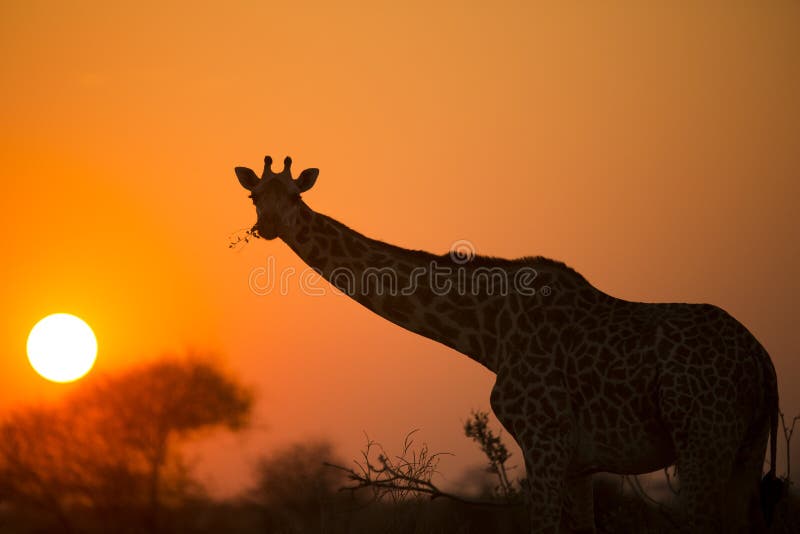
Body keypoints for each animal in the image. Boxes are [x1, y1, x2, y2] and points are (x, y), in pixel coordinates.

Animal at [235, 155, 781, 533]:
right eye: (255, 196)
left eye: (294, 196)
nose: (268, 227)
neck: (491, 332)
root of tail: (761, 359)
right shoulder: (580, 462)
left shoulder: (545, 438)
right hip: (745, 448)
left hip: (702, 439)